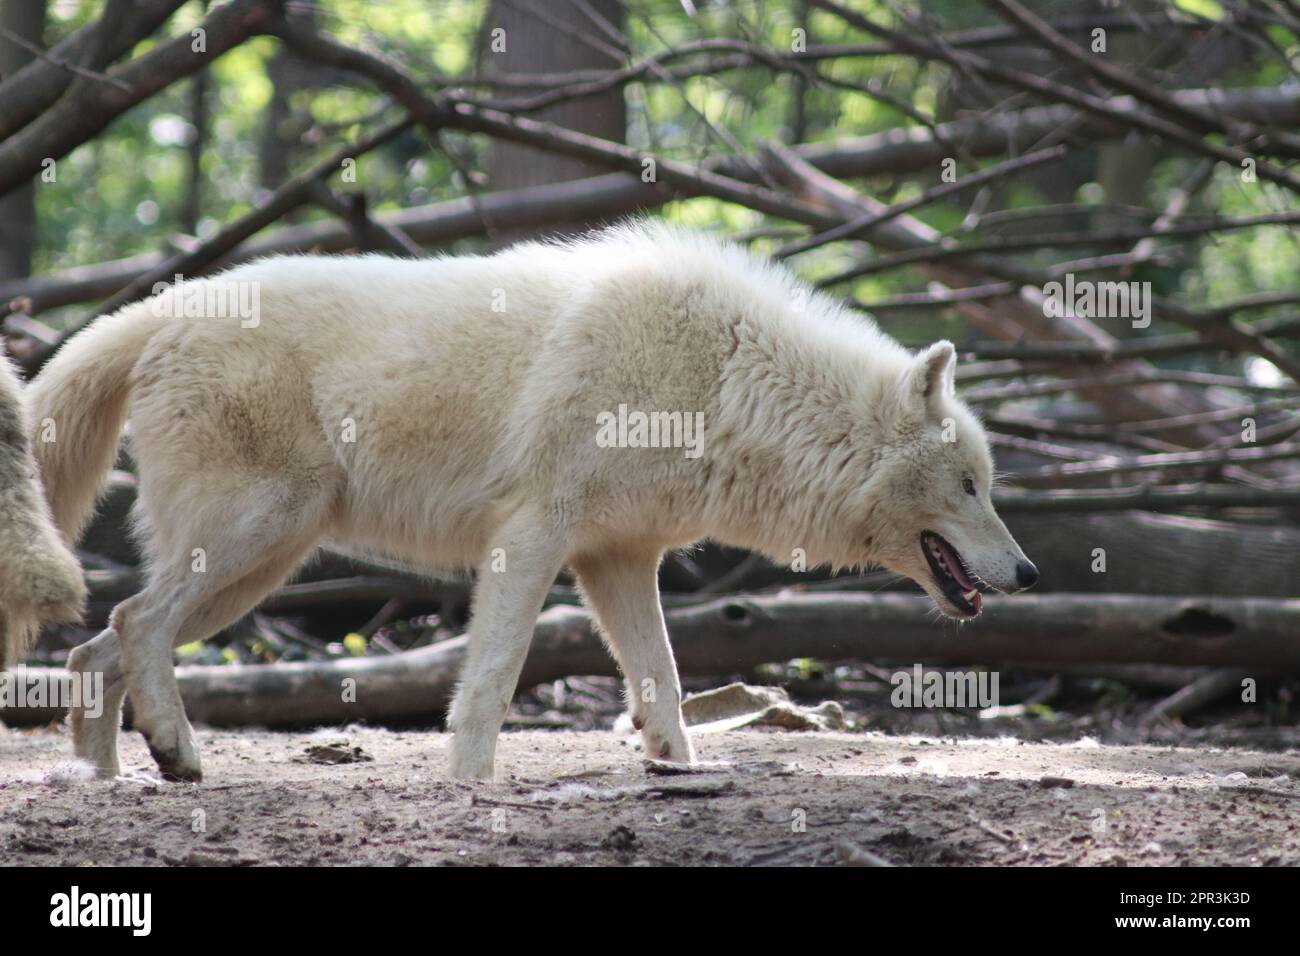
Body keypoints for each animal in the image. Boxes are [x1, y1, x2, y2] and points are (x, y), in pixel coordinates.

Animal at [20, 222, 1035, 782]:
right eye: (970, 486)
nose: (1027, 573)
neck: (723, 384)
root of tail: (161, 306)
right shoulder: (533, 538)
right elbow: (496, 678)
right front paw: (472, 781)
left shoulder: (619, 558)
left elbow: (661, 680)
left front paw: (678, 768)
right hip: (257, 541)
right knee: (135, 620)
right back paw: (175, 754)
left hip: (262, 563)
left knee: (96, 643)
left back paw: (115, 777)